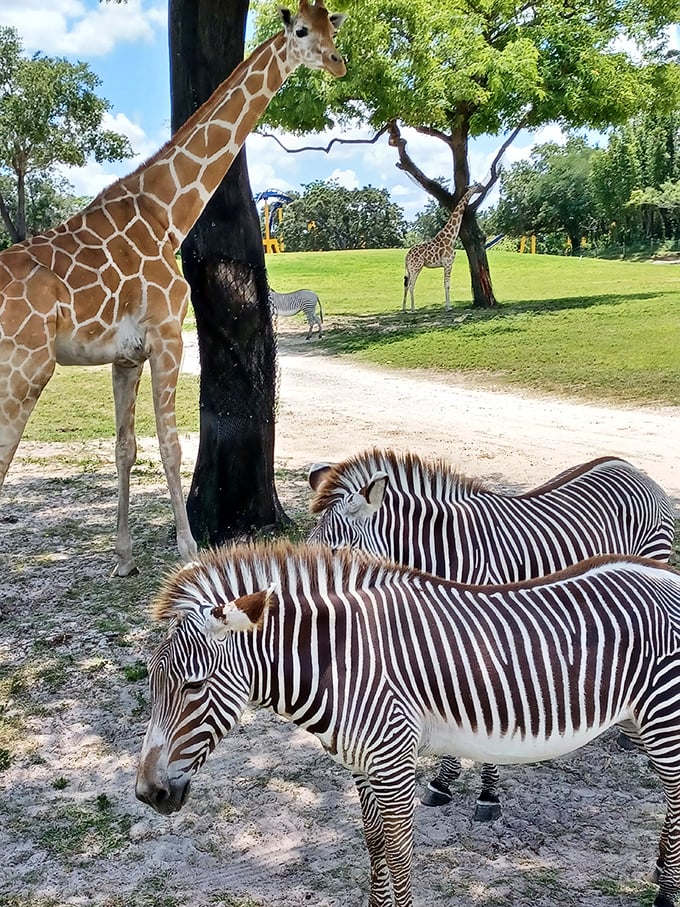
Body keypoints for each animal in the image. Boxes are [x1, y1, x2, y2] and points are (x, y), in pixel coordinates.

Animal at [0, 0, 346, 577]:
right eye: (301, 31)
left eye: (331, 26)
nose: (339, 63)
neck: (167, 212)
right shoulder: (167, 336)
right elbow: (171, 445)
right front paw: (188, 551)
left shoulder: (125, 355)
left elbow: (125, 447)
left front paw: (123, 558)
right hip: (25, 368)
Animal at [136, 541, 680, 907]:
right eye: (152, 684)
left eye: (194, 687)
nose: (147, 794)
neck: (343, 662)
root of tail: (665, 573)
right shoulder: (362, 767)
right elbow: (375, 846)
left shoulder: (394, 764)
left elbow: (398, 853)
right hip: (640, 718)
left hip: (664, 716)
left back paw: (666, 894)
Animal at [307, 448, 676, 818]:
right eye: (308, 547)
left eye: (336, 552)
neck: (443, 554)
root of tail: (629, 467)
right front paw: (443, 782)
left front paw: (487, 794)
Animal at [402, 183, 483, 312]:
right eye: (479, 185)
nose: (483, 188)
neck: (451, 237)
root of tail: (406, 256)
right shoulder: (448, 262)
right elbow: (447, 284)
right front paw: (449, 307)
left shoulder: (446, 264)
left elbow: (445, 284)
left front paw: (447, 306)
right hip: (415, 267)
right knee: (411, 285)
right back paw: (413, 309)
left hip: (411, 269)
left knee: (406, 284)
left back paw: (404, 308)